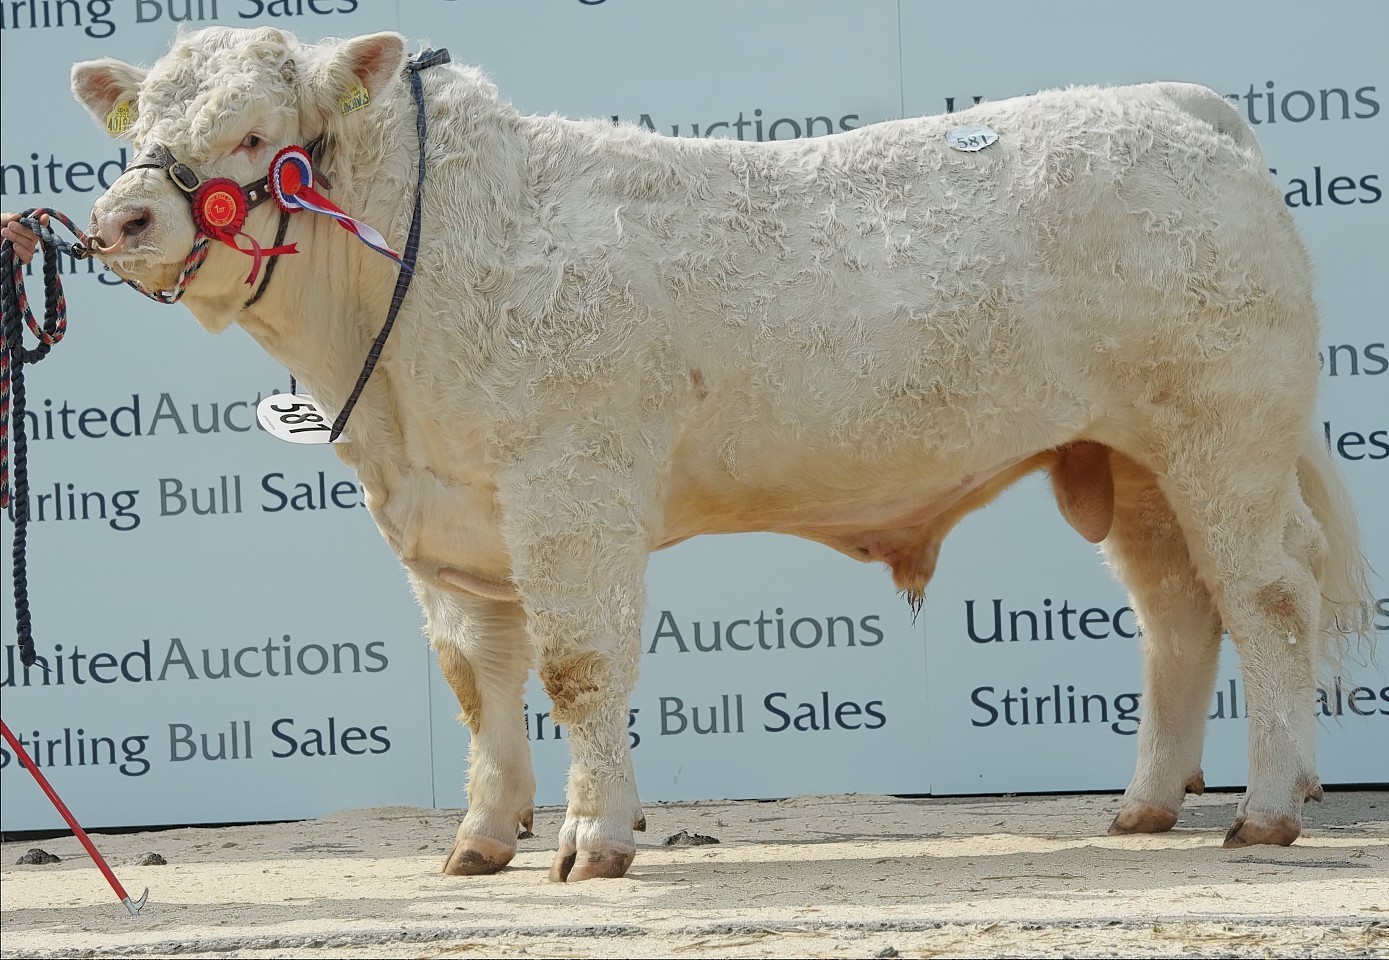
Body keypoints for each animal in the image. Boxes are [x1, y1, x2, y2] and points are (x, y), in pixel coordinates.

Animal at [71, 26, 1372, 882]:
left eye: (253, 134)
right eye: (142, 128)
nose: (116, 221)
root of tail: (1172, 103)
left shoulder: (571, 492)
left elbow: (578, 669)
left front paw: (596, 841)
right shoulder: (454, 518)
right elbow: (478, 680)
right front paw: (481, 839)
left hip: (1223, 435)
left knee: (1267, 598)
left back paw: (1265, 812)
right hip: (1128, 459)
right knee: (1175, 612)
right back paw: (1144, 808)